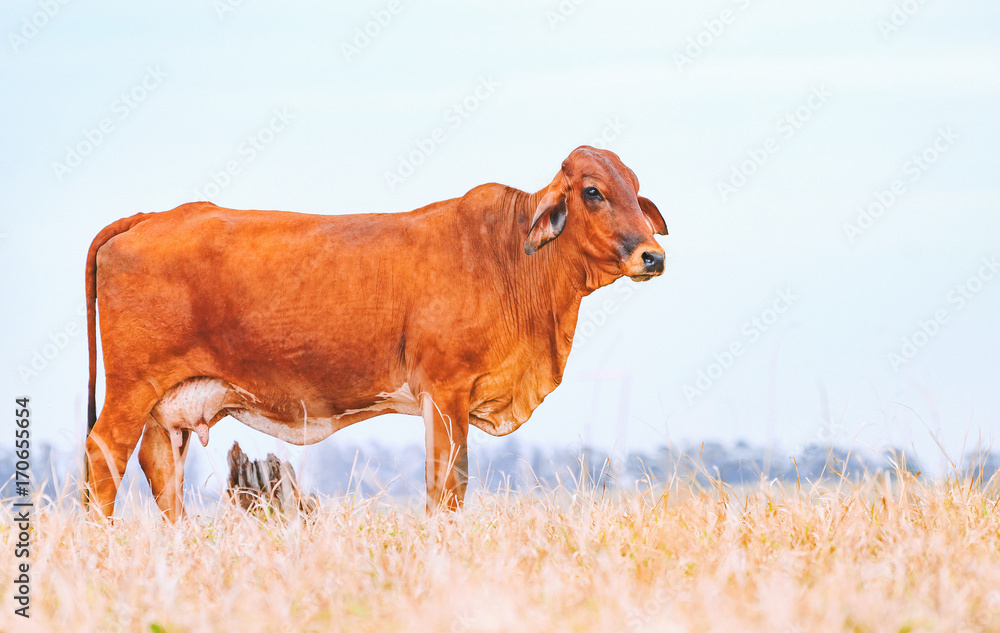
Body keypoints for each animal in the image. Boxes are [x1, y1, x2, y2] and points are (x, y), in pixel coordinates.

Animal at [83, 145, 668, 520]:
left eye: (637, 191)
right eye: (592, 192)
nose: (653, 256)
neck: (506, 255)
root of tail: (151, 216)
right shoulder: (446, 391)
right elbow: (448, 485)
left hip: (170, 408)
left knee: (161, 471)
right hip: (131, 390)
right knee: (103, 455)